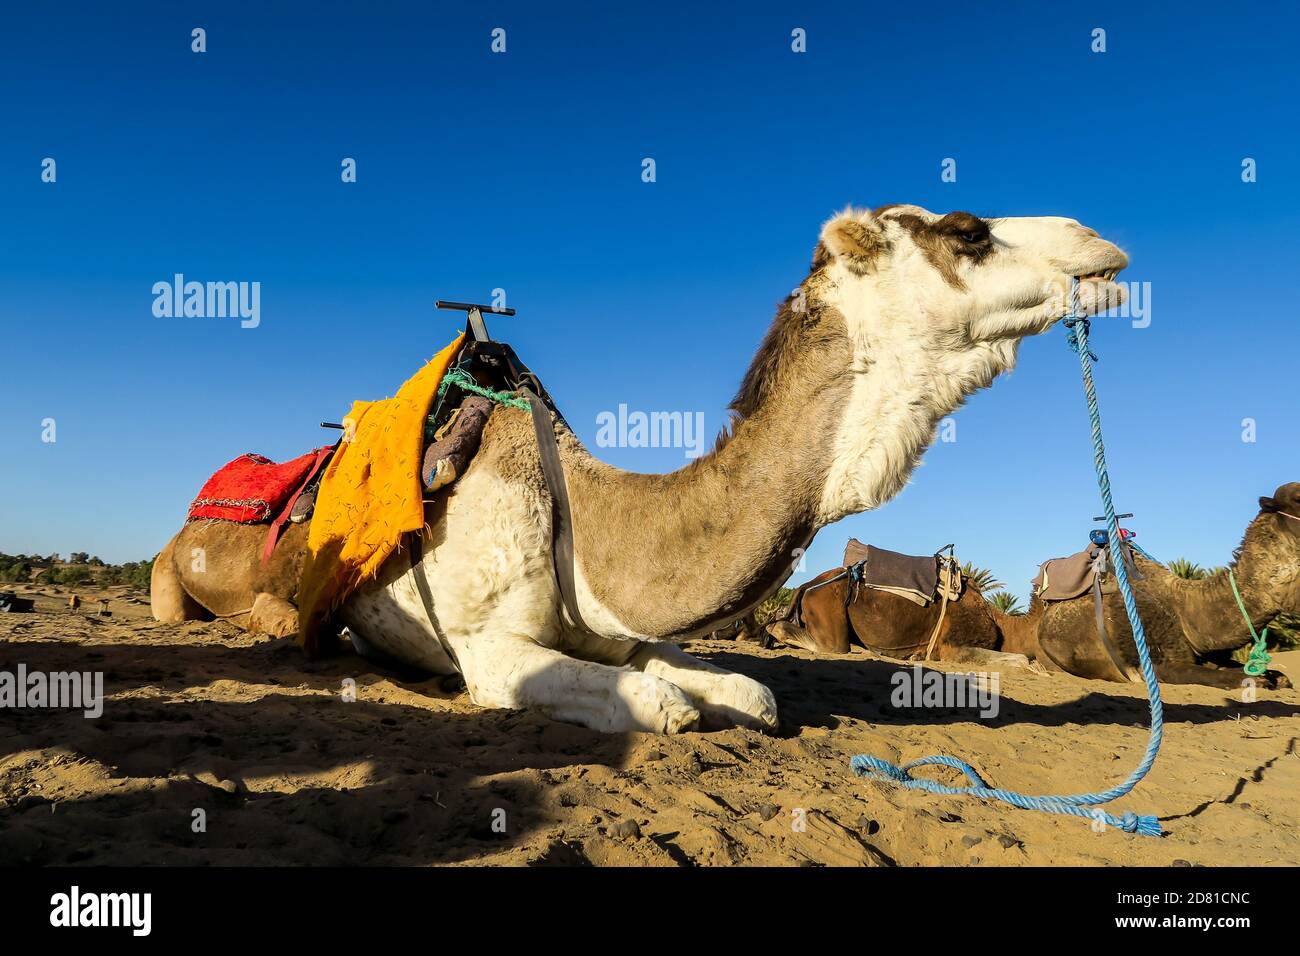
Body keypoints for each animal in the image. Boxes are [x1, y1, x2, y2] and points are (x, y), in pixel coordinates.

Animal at [154, 203, 1129, 733]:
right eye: (967, 232)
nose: (1100, 241)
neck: (586, 522)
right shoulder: (488, 649)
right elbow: (664, 707)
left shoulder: (625, 629)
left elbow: (748, 694)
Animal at [1026, 484, 1299, 688]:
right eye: (1297, 497)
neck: (1185, 610)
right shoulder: (1153, 664)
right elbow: (1211, 675)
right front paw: (1257, 680)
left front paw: (1276, 676)